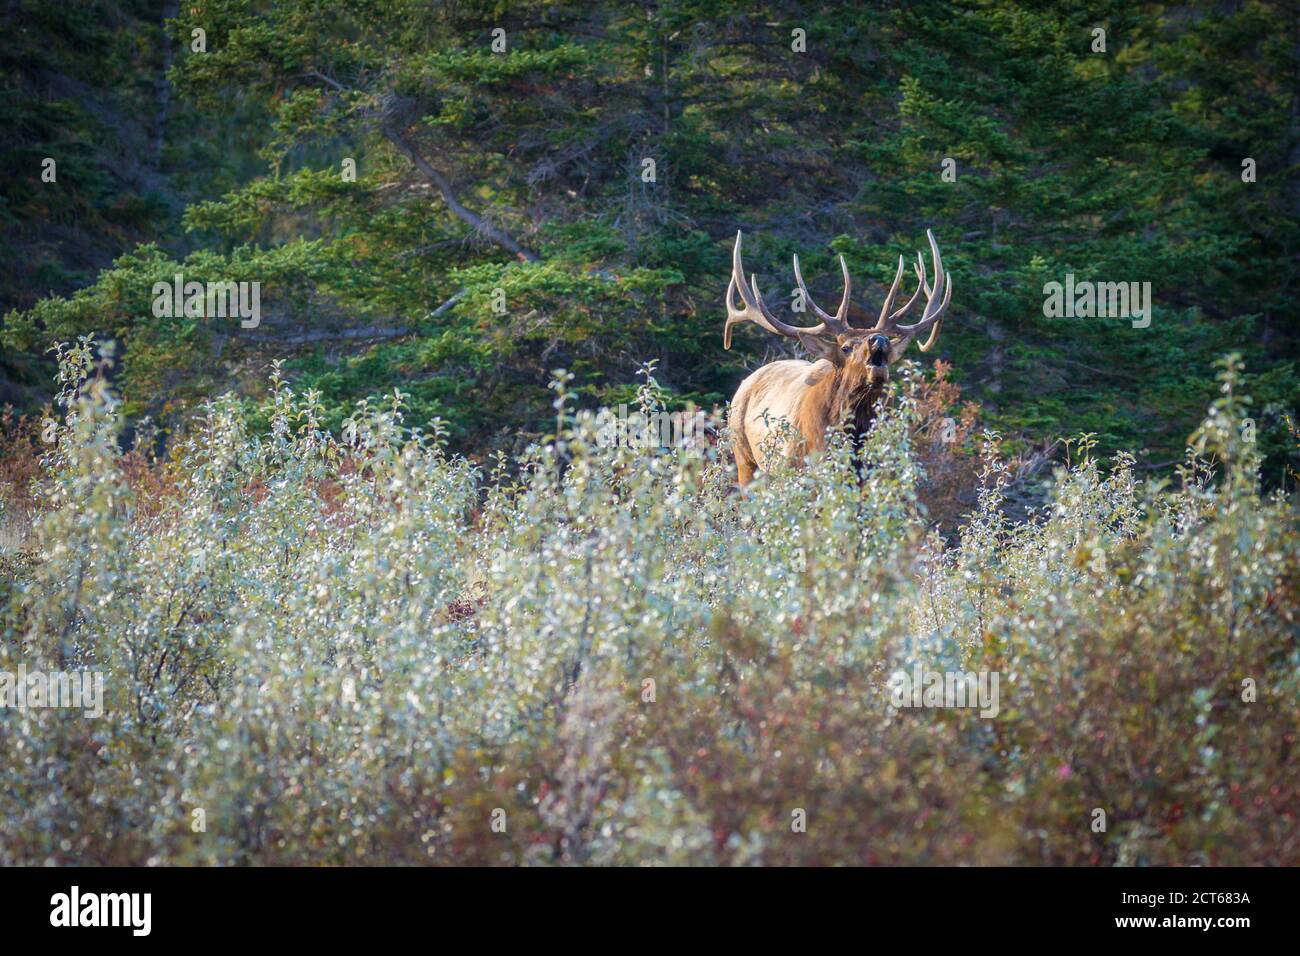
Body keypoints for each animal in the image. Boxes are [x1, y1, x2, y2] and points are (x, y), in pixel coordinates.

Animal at [723, 229, 952, 486]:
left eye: (887, 343)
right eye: (845, 347)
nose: (878, 340)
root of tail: (745, 383)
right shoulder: (793, 468)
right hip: (744, 456)